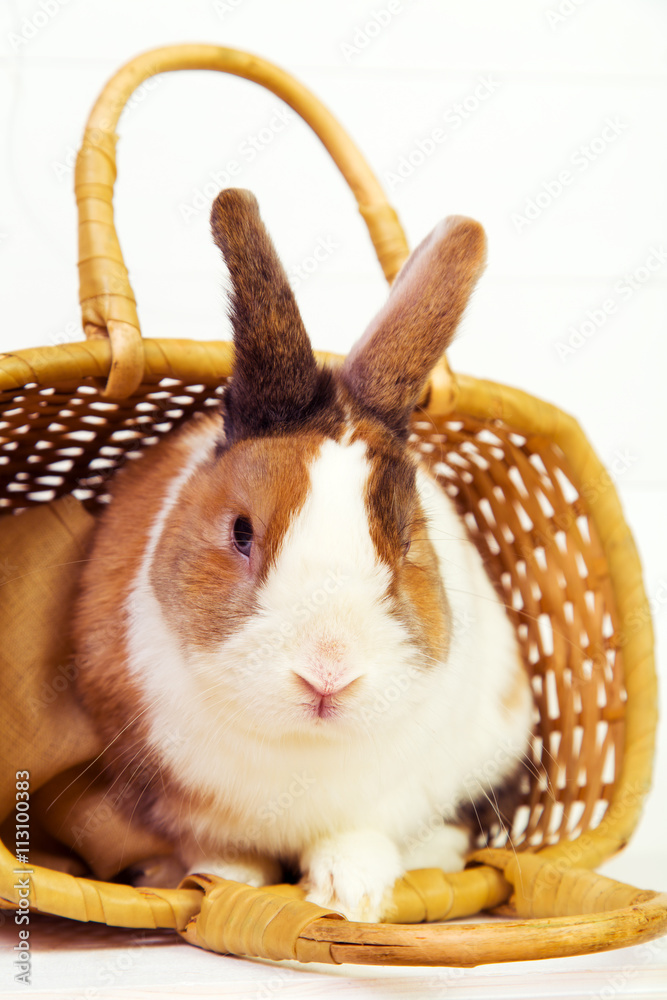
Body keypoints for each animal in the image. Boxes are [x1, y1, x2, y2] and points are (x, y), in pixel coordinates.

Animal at [72, 188, 534, 923]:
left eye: (408, 540)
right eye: (240, 531)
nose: (328, 673)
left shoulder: (386, 799)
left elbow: (359, 838)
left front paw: (351, 897)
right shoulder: (183, 800)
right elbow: (217, 849)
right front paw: (224, 884)